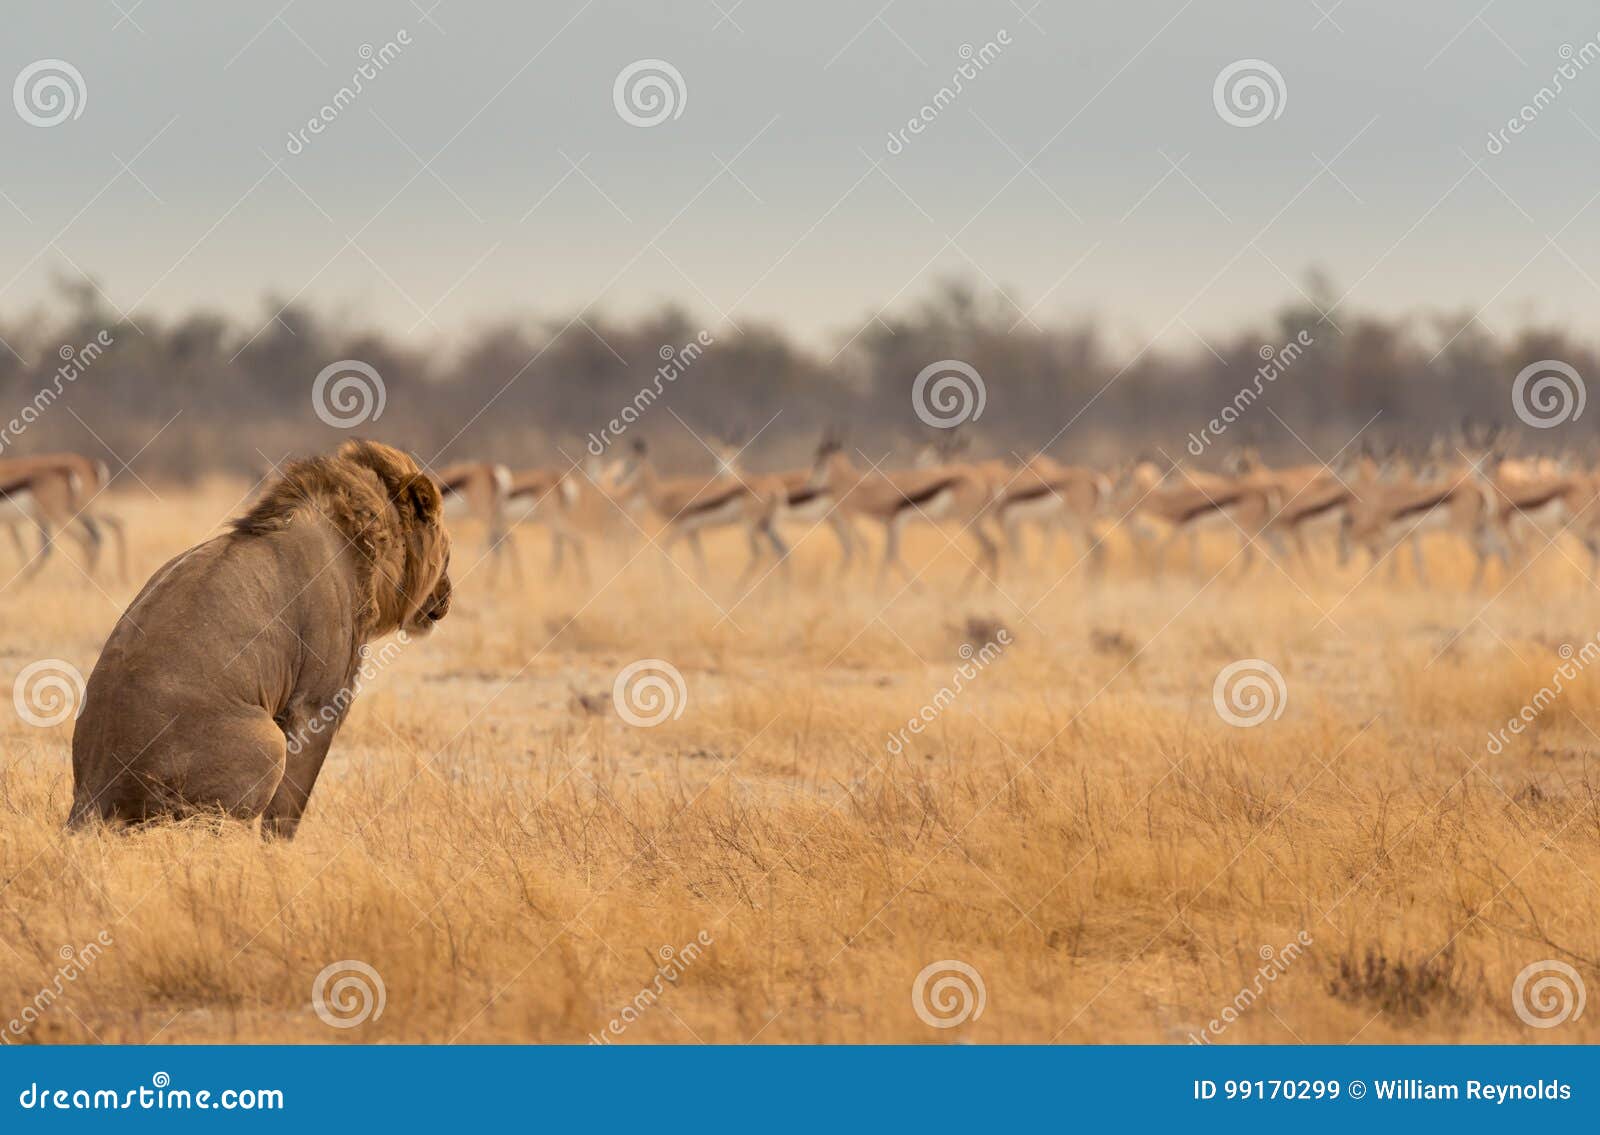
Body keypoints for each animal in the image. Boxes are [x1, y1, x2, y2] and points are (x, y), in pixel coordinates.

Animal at [69, 440, 452, 839]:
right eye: (445, 547)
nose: (447, 592)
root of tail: (92, 795)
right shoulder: (316, 703)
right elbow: (287, 808)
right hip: (266, 743)